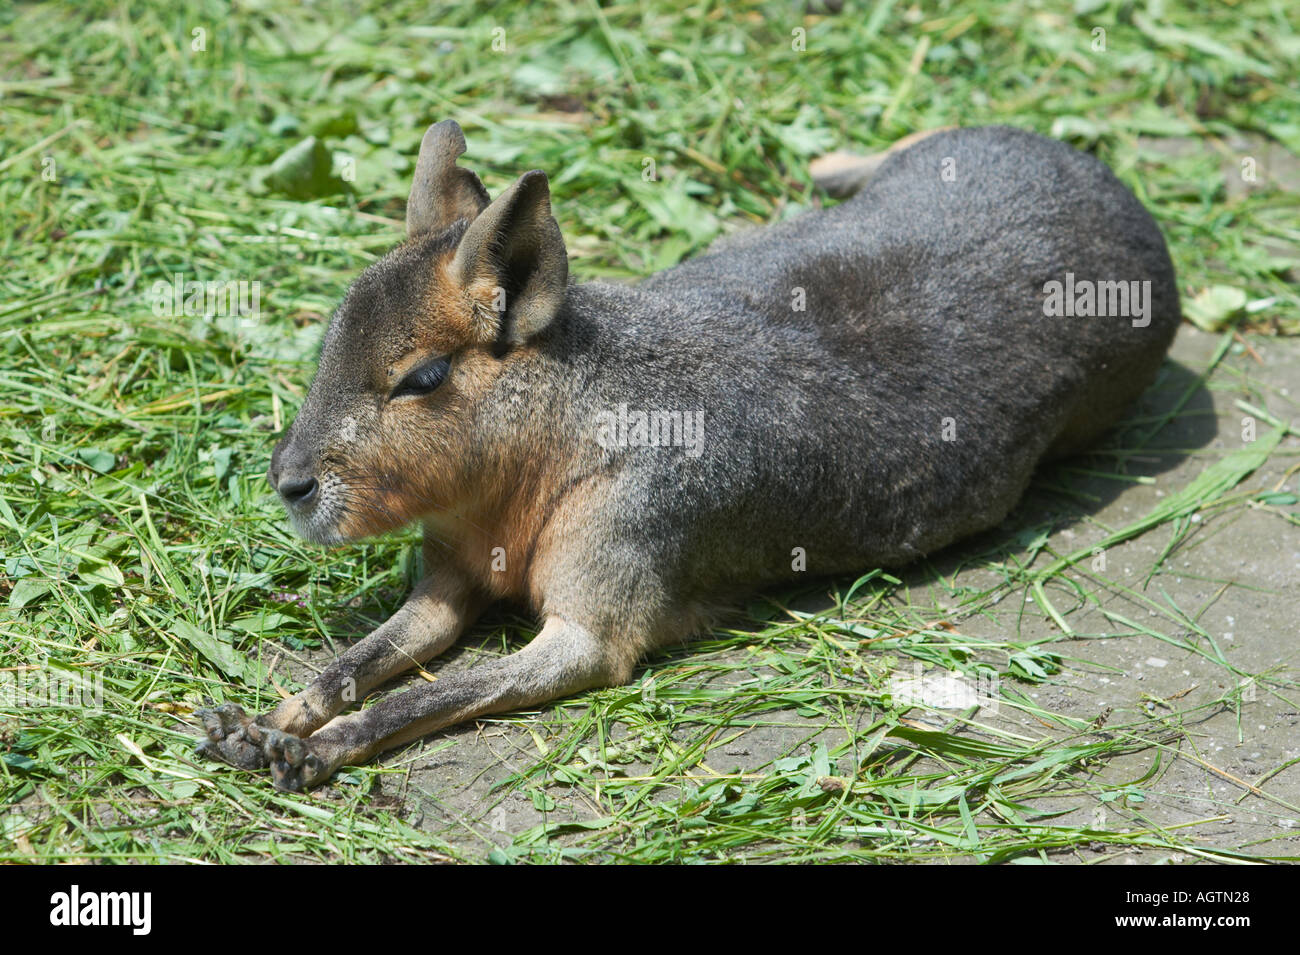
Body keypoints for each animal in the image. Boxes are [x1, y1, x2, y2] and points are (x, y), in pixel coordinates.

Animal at [196, 120, 1179, 790]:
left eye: (423, 377)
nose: (288, 483)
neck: (538, 459)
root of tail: (1111, 185)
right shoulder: (447, 576)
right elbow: (364, 658)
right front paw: (266, 718)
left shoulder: (598, 619)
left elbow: (425, 694)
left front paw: (309, 750)